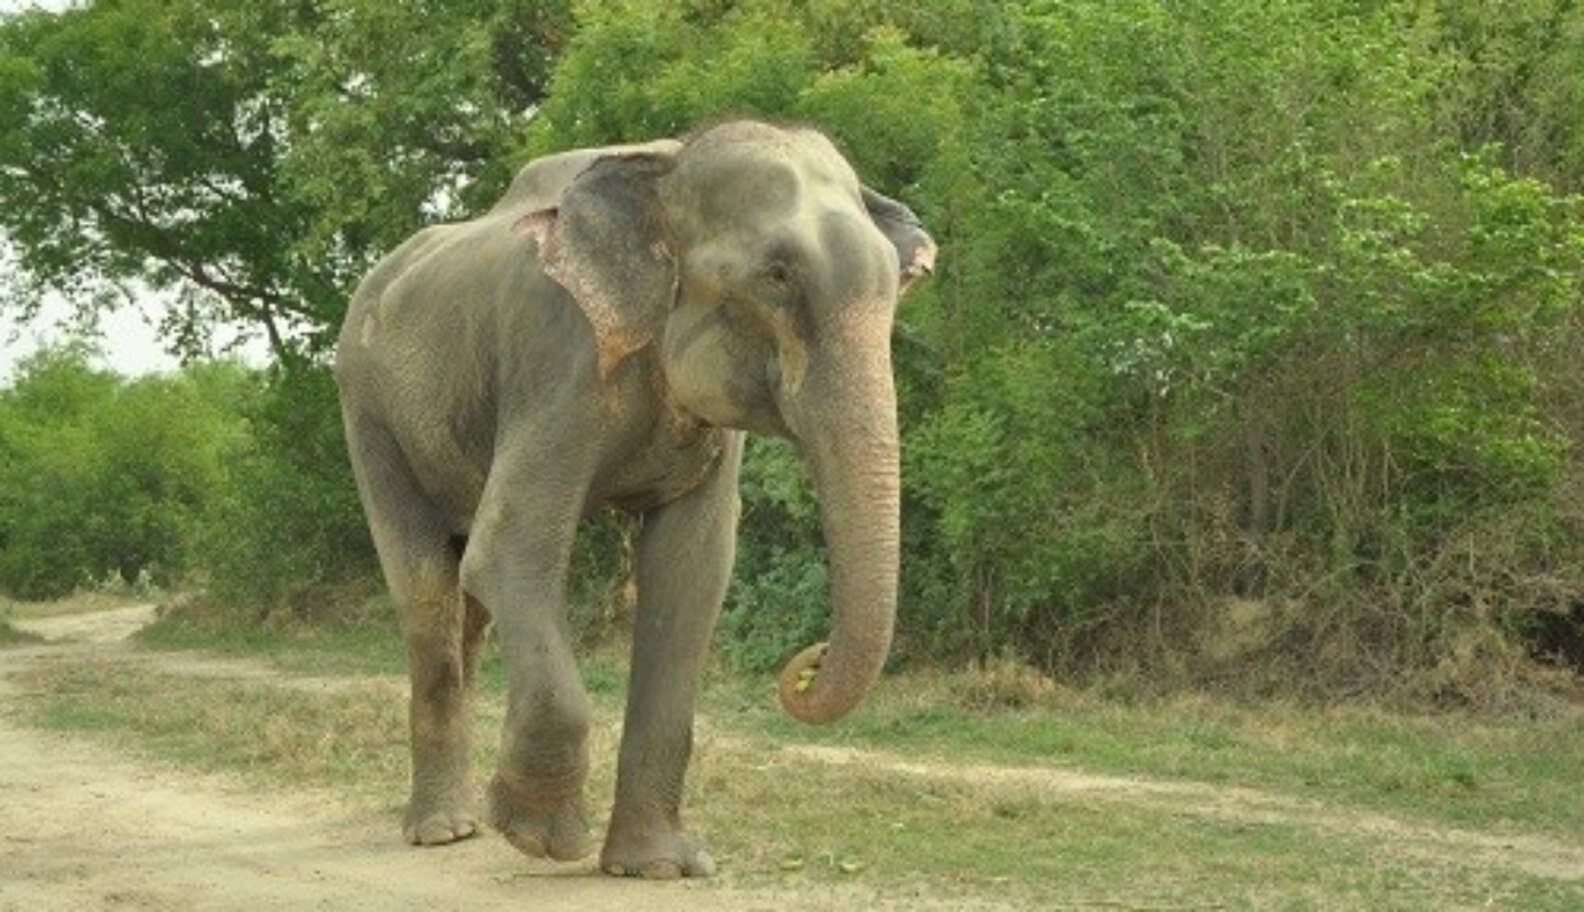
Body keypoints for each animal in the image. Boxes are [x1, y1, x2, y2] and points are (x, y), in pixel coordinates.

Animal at [333, 119, 935, 879]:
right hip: (368, 409)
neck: (666, 163)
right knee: (427, 585)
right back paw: (443, 830)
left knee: (463, 602)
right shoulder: (558, 350)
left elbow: (692, 572)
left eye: (896, 285)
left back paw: (458, 821)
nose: (808, 661)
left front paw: (660, 868)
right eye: (776, 275)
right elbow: (508, 552)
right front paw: (540, 838)